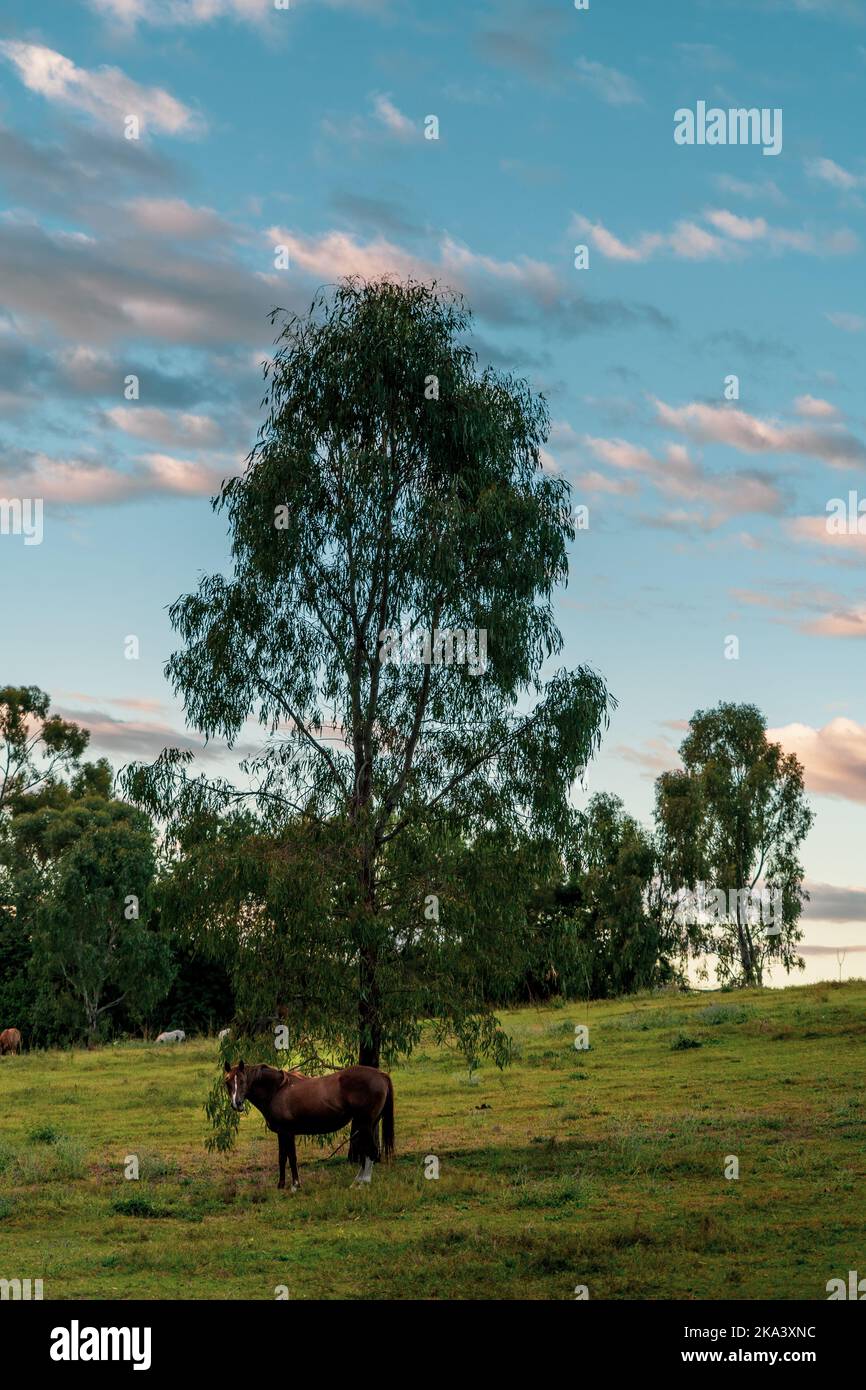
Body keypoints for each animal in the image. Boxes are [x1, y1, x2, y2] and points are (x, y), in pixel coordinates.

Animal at [224, 1061, 394, 1190]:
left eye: (243, 1081)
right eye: (228, 1082)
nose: (237, 1104)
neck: (277, 1090)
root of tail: (381, 1074)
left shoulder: (287, 1132)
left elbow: (291, 1158)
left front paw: (295, 1185)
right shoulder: (281, 1133)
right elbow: (282, 1158)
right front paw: (281, 1185)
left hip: (365, 1123)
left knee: (371, 1151)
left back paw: (363, 1183)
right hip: (369, 1124)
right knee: (368, 1151)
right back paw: (357, 1182)